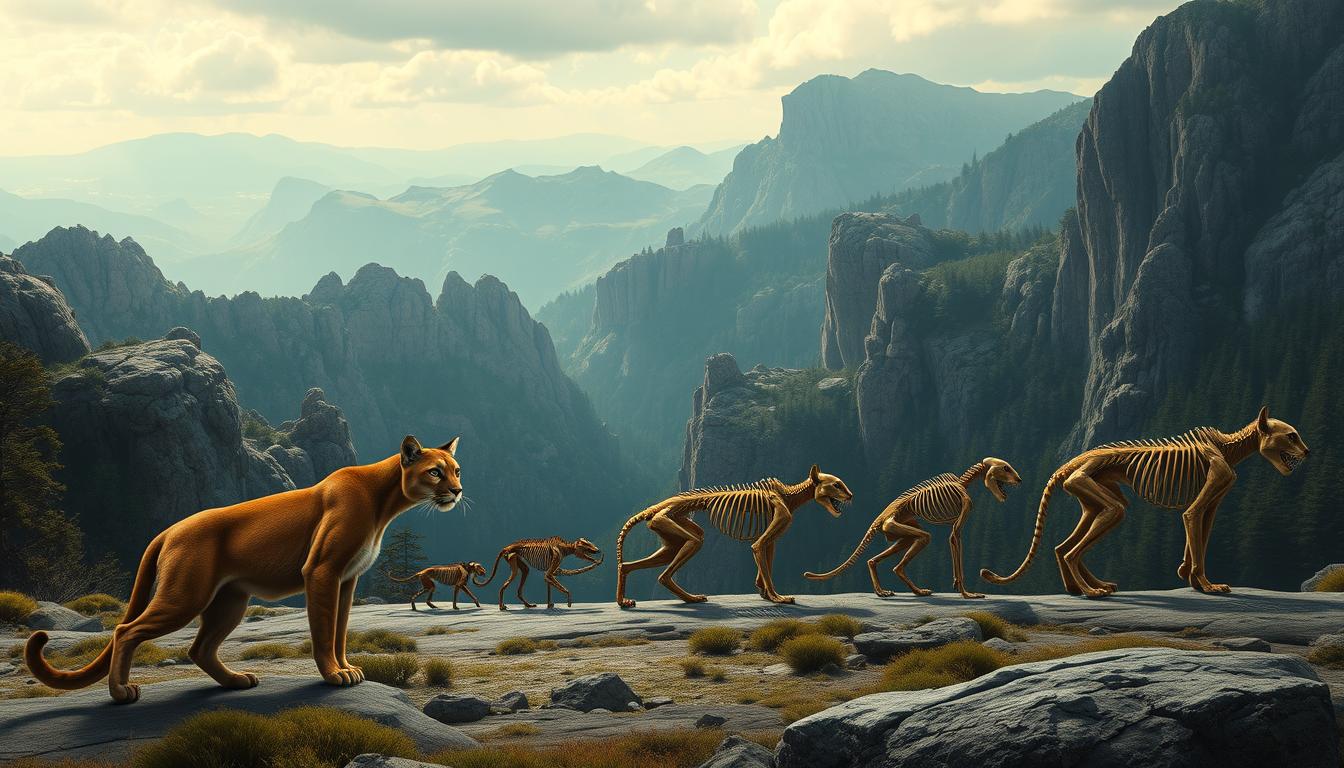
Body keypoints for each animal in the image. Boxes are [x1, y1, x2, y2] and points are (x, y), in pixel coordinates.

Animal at [25, 435, 462, 703]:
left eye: (456, 468)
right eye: (435, 471)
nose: (457, 491)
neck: (383, 499)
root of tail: (169, 529)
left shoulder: (347, 579)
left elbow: (339, 630)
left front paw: (348, 668)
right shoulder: (322, 571)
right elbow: (323, 632)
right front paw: (332, 675)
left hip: (230, 601)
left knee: (199, 647)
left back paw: (237, 681)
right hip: (185, 595)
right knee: (126, 630)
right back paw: (120, 692)